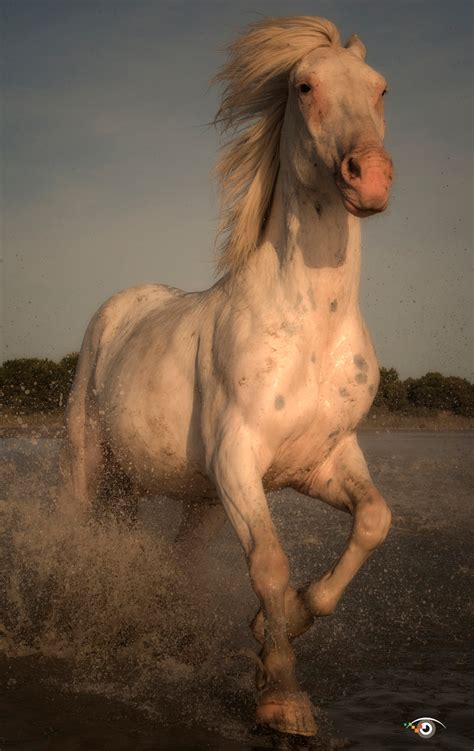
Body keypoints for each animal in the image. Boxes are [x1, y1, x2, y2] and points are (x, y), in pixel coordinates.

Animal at [59, 16, 393, 738]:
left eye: (381, 87)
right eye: (305, 85)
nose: (372, 177)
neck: (311, 329)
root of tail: (120, 308)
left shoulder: (322, 460)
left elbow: (373, 521)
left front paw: (286, 620)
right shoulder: (240, 458)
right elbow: (268, 562)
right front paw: (283, 699)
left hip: (195, 500)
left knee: (173, 562)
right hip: (93, 464)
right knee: (83, 536)